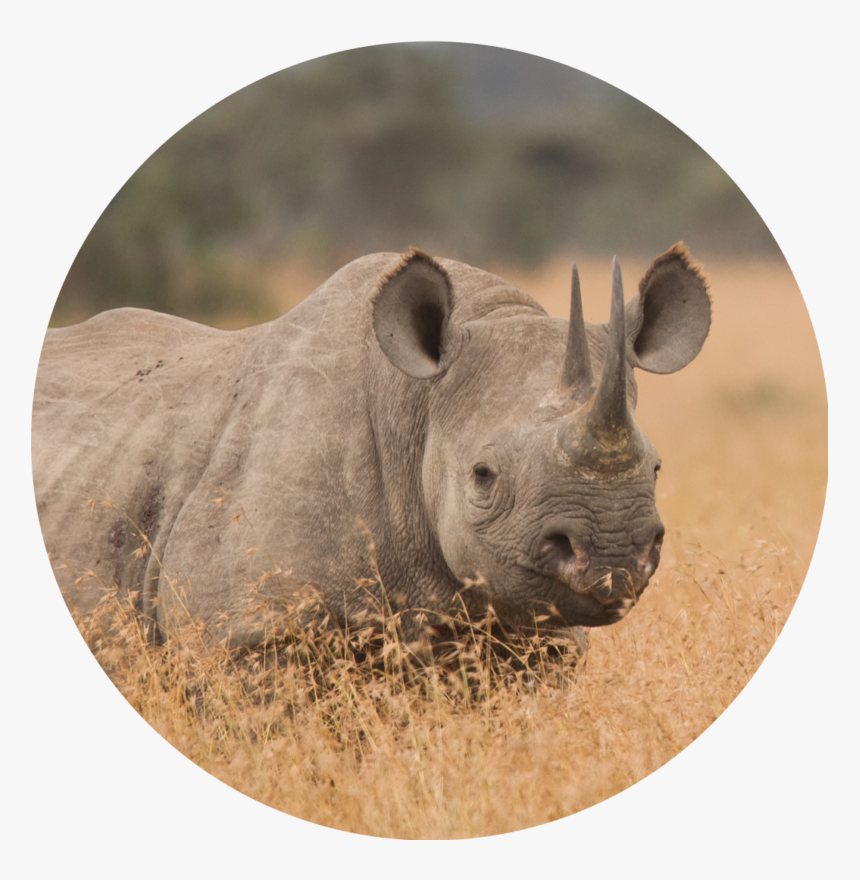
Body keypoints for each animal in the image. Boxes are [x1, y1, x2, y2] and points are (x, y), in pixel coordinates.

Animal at [33, 244, 710, 647]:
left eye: (655, 468)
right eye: (483, 475)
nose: (611, 554)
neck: (414, 406)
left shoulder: (535, 635)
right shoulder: (243, 636)